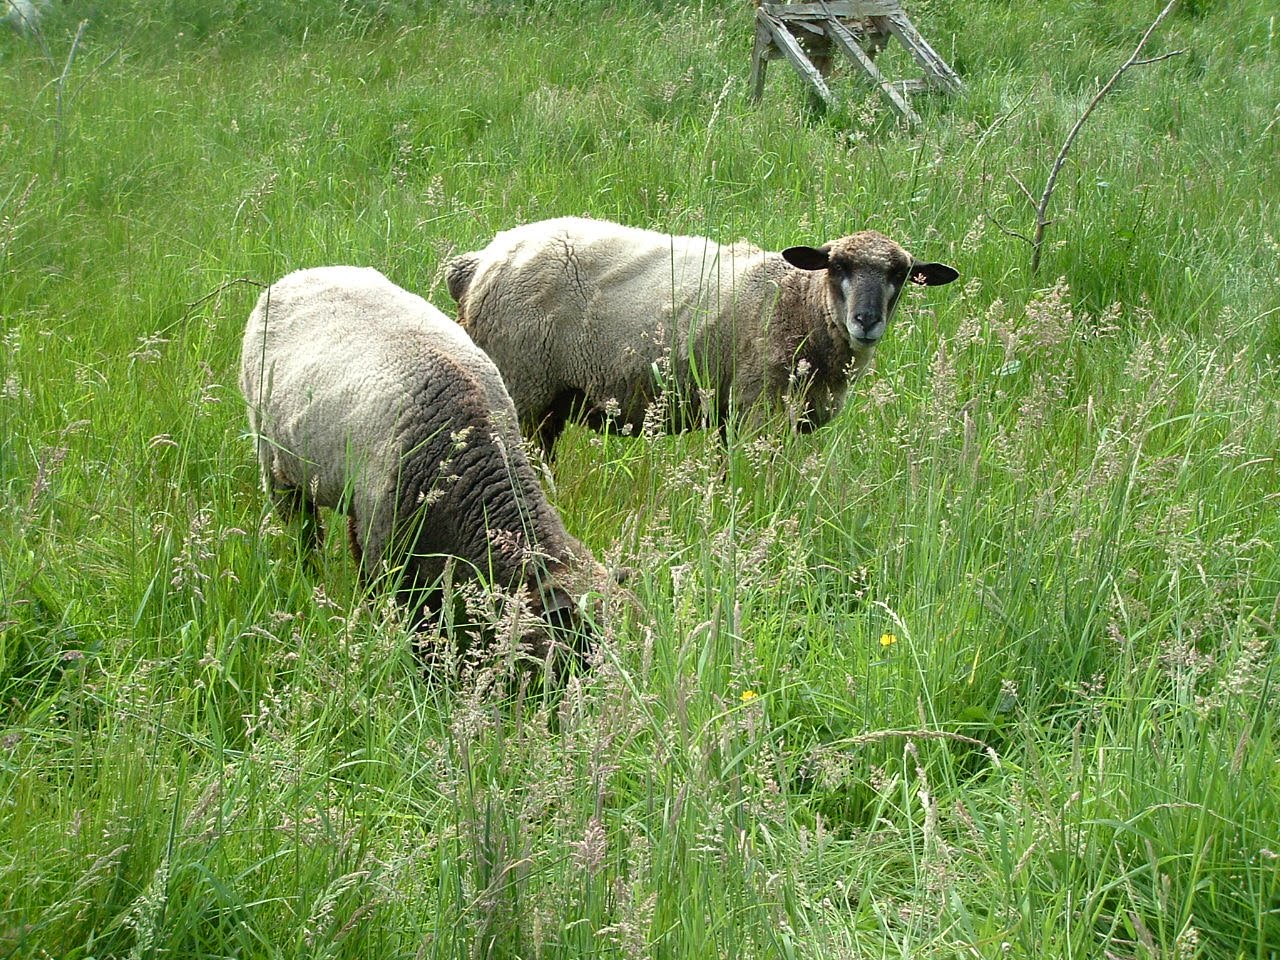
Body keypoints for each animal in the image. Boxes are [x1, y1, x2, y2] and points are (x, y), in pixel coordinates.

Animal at [240, 265, 615, 668]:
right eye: (570, 657)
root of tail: (302, 274)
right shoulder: (389, 558)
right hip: (277, 467)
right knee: (305, 533)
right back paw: (311, 576)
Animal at [446, 216, 958, 454]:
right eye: (838, 267)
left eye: (901, 274)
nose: (866, 320)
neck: (801, 305)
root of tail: (479, 262)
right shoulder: (758, 410)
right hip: (520, 383)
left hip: (547, 403)